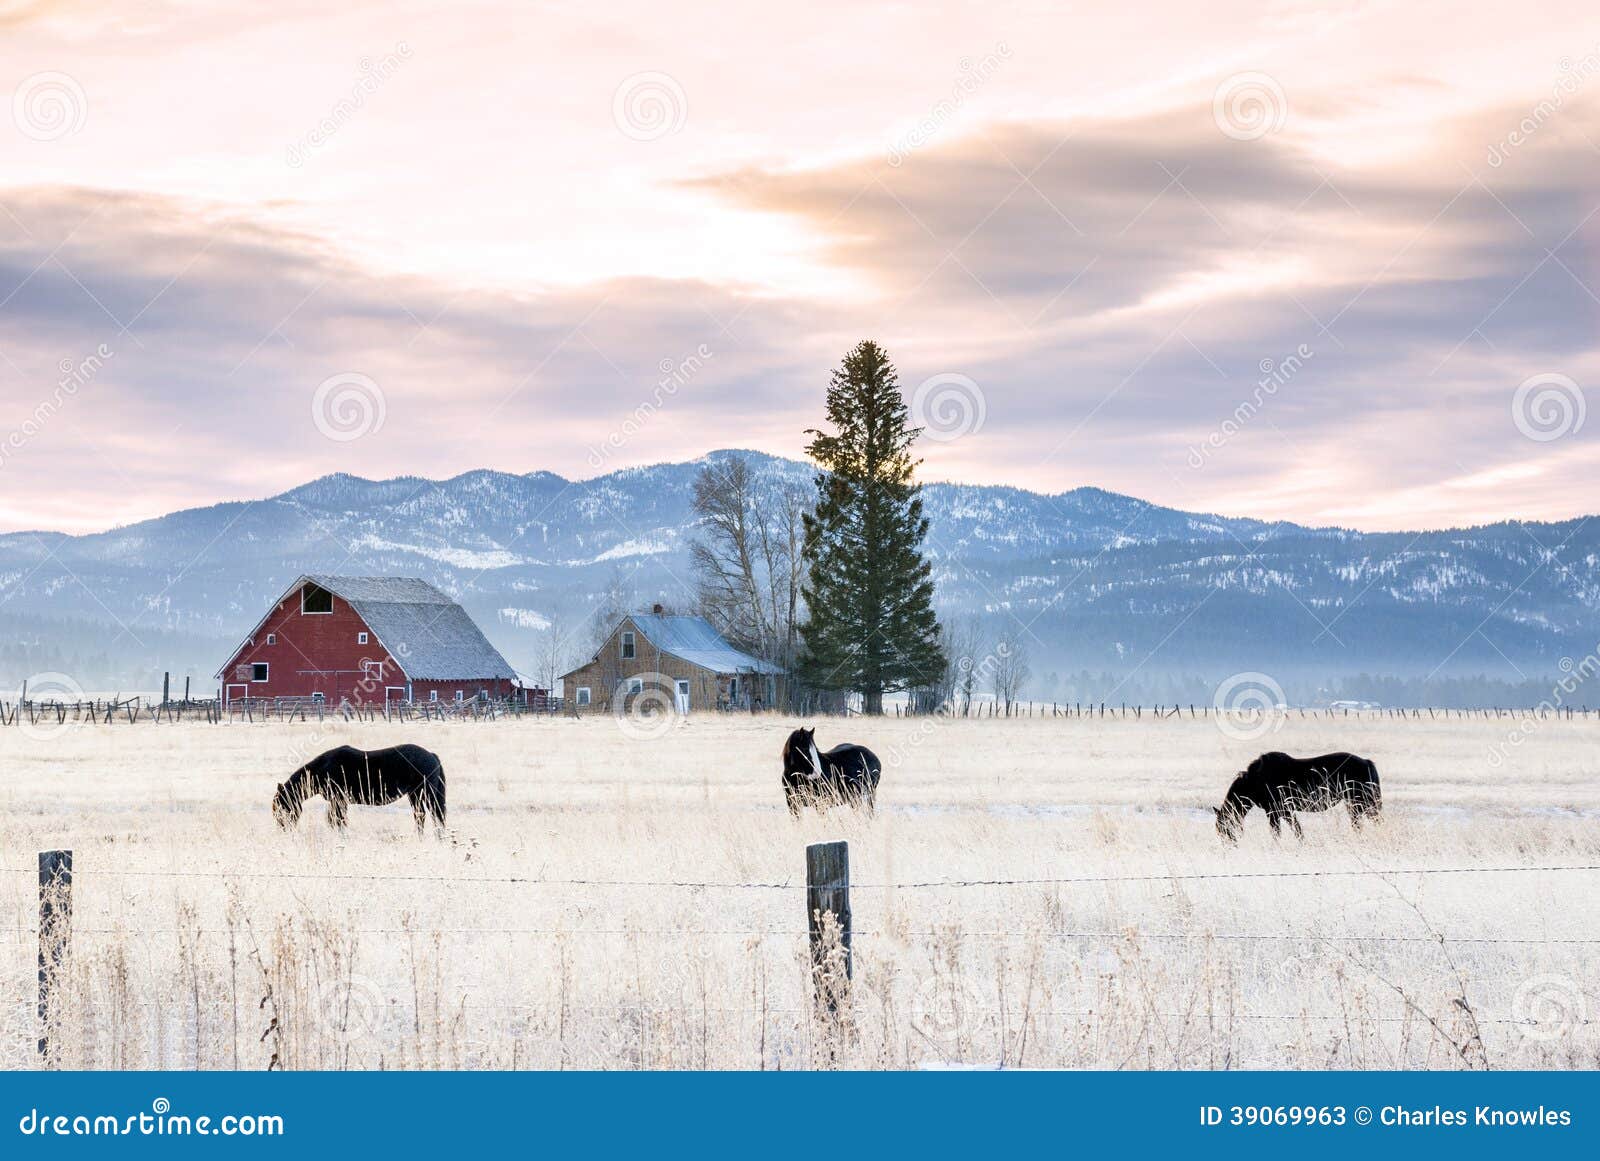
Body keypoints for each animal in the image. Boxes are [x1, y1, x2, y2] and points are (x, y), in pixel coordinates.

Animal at [273, 744, 446, 835]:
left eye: (282, 807)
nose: (283, 830)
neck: (323, 768)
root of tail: (431, 755)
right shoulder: (337, 802)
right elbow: (334, 820)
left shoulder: (339, 800)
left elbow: (338, 821)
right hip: (416, 794)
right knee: (426, 815)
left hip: (424, 793)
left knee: (430, 815)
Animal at [1214, 750, 1381, 841]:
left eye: (1224, 827)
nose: (1229, 847)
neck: (1256, 780)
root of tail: (1366, 762)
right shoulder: (1284, 812)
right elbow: (1297, 831)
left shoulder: (1274, 812)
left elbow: (1278, 833)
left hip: (1360, 803)